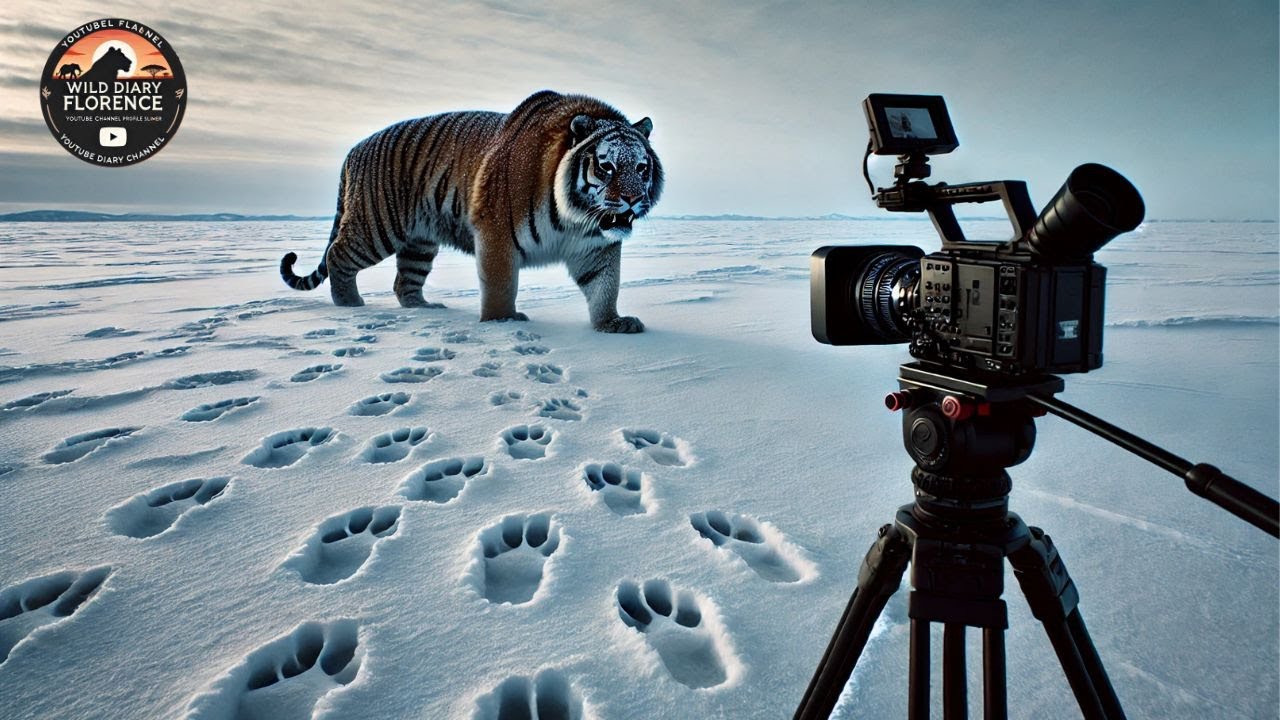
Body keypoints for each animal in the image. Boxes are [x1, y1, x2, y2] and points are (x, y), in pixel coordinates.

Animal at [280, 90, 663, 333]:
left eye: (641, 168)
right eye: (606, 166)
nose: (632, 199)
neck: (576, 218)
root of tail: (353, 150)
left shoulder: (597, 246)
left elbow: (605, 286)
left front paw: (610, 323)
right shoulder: (497, 231)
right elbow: (500, 282)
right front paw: (502, 321)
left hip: (419, 243)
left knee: (405, 281)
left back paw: (424, 308)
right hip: (378, 226)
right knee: (338, 254)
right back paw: (350, 304)